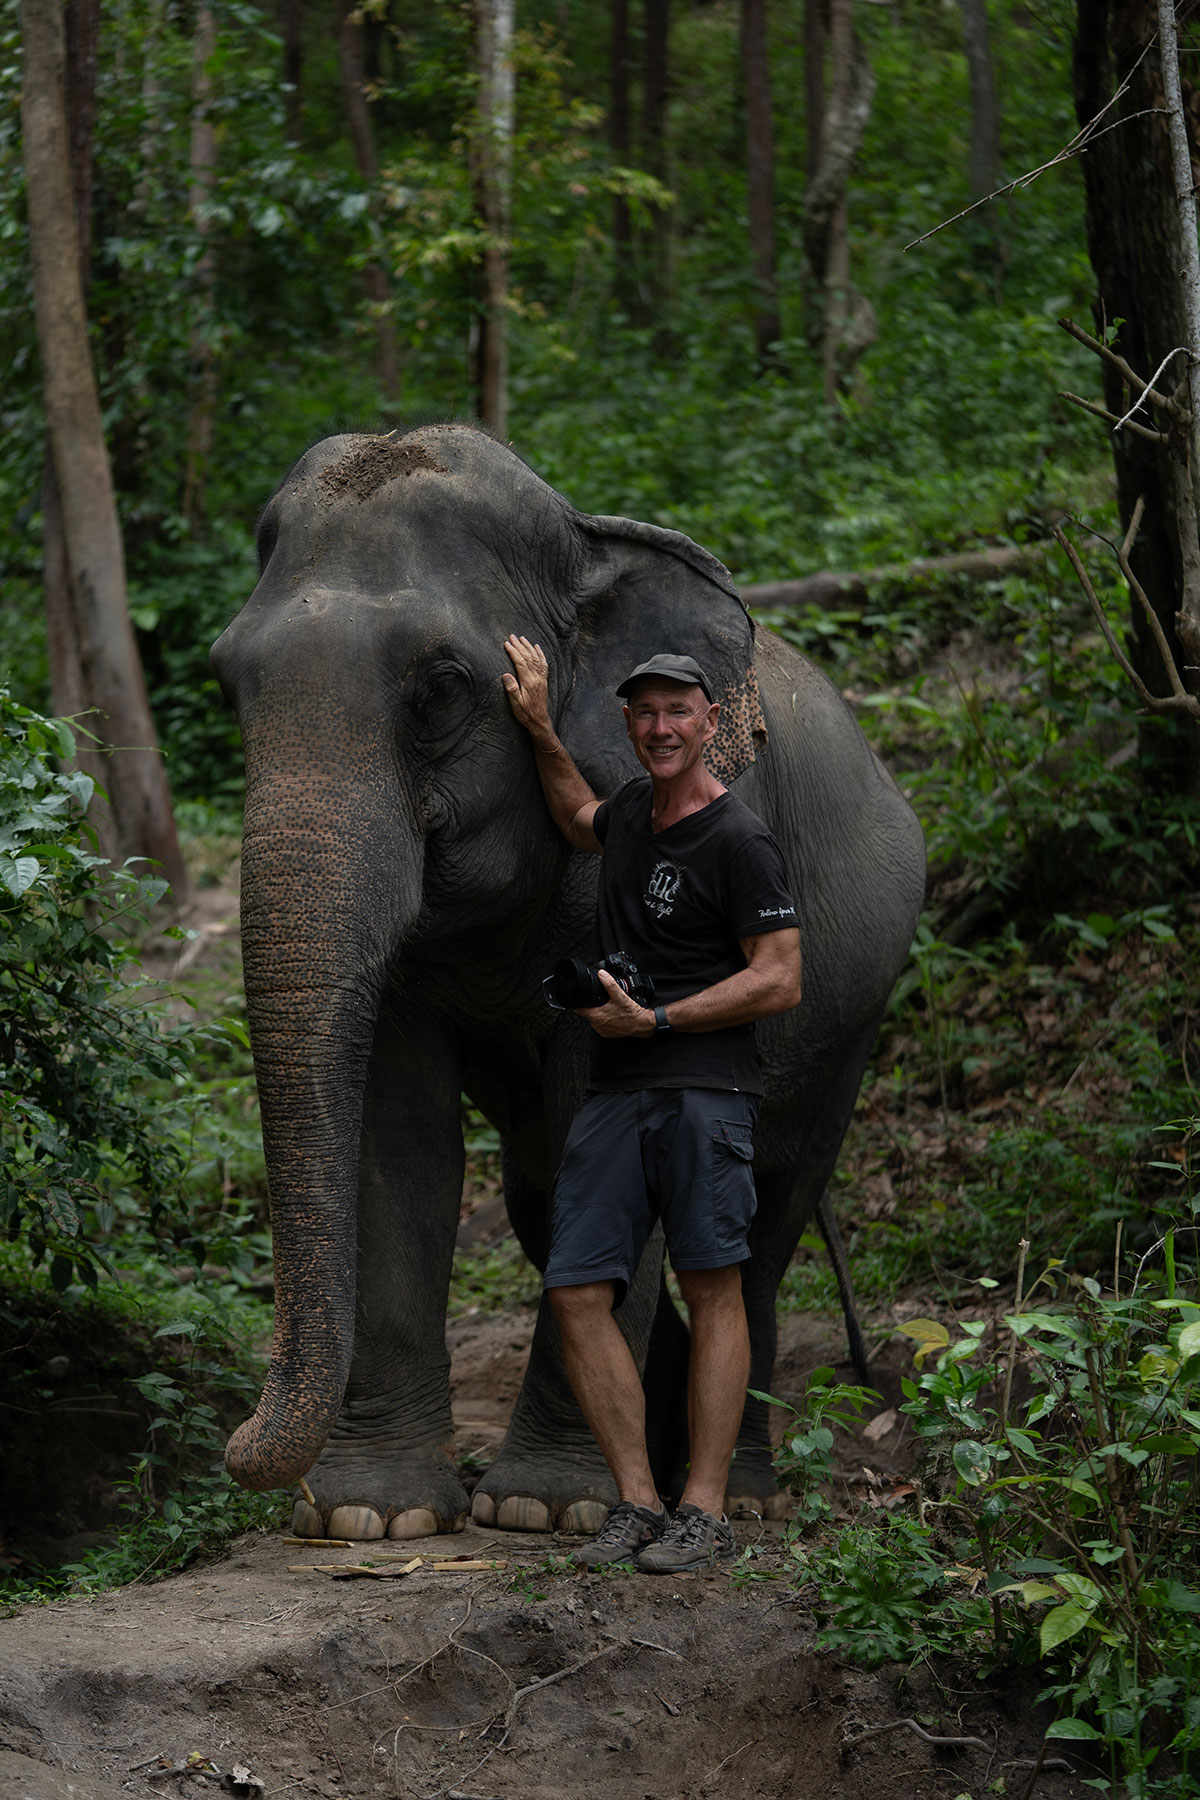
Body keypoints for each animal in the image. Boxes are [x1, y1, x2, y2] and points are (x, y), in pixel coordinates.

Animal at [211, 422, 925, 1541]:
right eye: (227, 682)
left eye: (442, 687)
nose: (235, 1447)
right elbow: (399, 1139)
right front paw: (373, 1519)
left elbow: (602, 1112)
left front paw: (545, 1510)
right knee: (546, 1194)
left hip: (853, 1017)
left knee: (763, 1225)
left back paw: (740, 1494)